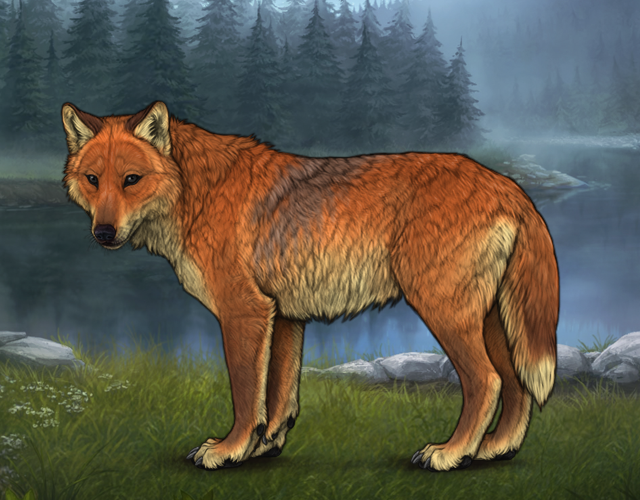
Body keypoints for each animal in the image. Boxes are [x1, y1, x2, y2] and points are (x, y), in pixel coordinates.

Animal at [61, 101, 559, 472]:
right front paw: (262, 448)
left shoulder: (245, 312)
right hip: (491, 322)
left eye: (131, 180)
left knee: (487, 382)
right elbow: (278, 399)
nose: (103, 233)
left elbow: (246, 394)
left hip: (446, 314)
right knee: (516, 384)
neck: (195, 192)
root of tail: (509, 185)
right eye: (93, 180)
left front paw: (228, 450)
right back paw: (495, 450)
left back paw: (451, 454)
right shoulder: (283, 317)